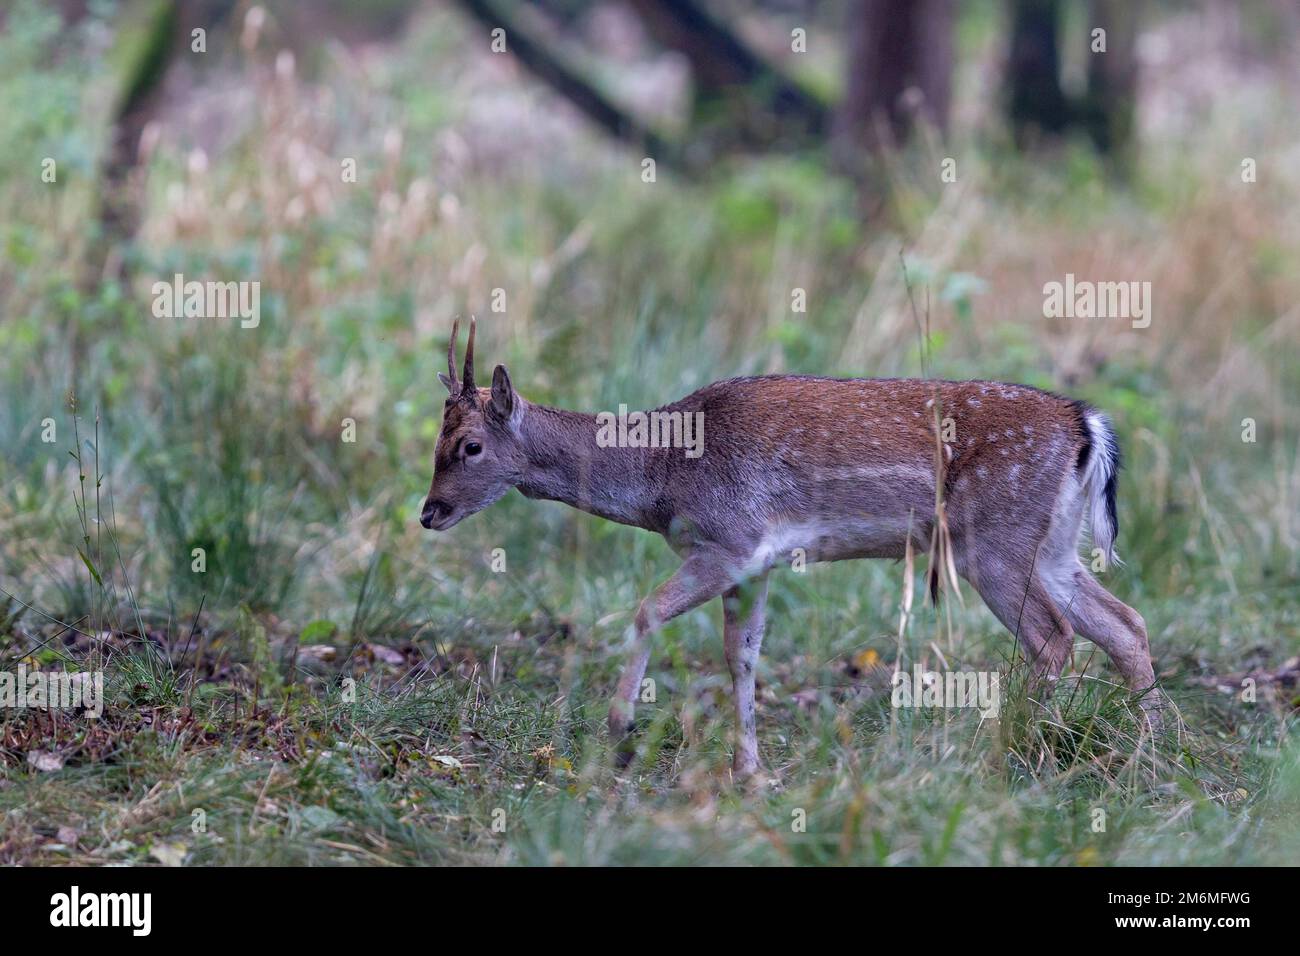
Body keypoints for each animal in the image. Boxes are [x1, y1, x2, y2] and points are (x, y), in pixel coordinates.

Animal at [421, 318, 1161, 779]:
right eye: (437, 441)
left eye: (470, 446)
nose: (429, 512)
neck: (662, 472)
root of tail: (1086, 424)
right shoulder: (757, 564)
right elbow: (741, 655)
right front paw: (750, 770)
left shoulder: (732, 540)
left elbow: (647, 610)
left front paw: (619, 728)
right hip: (1052, 544)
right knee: (1124, 624)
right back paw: (1148, 756)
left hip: (995, 540)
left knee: (1054, 636)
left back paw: (1008, 750)